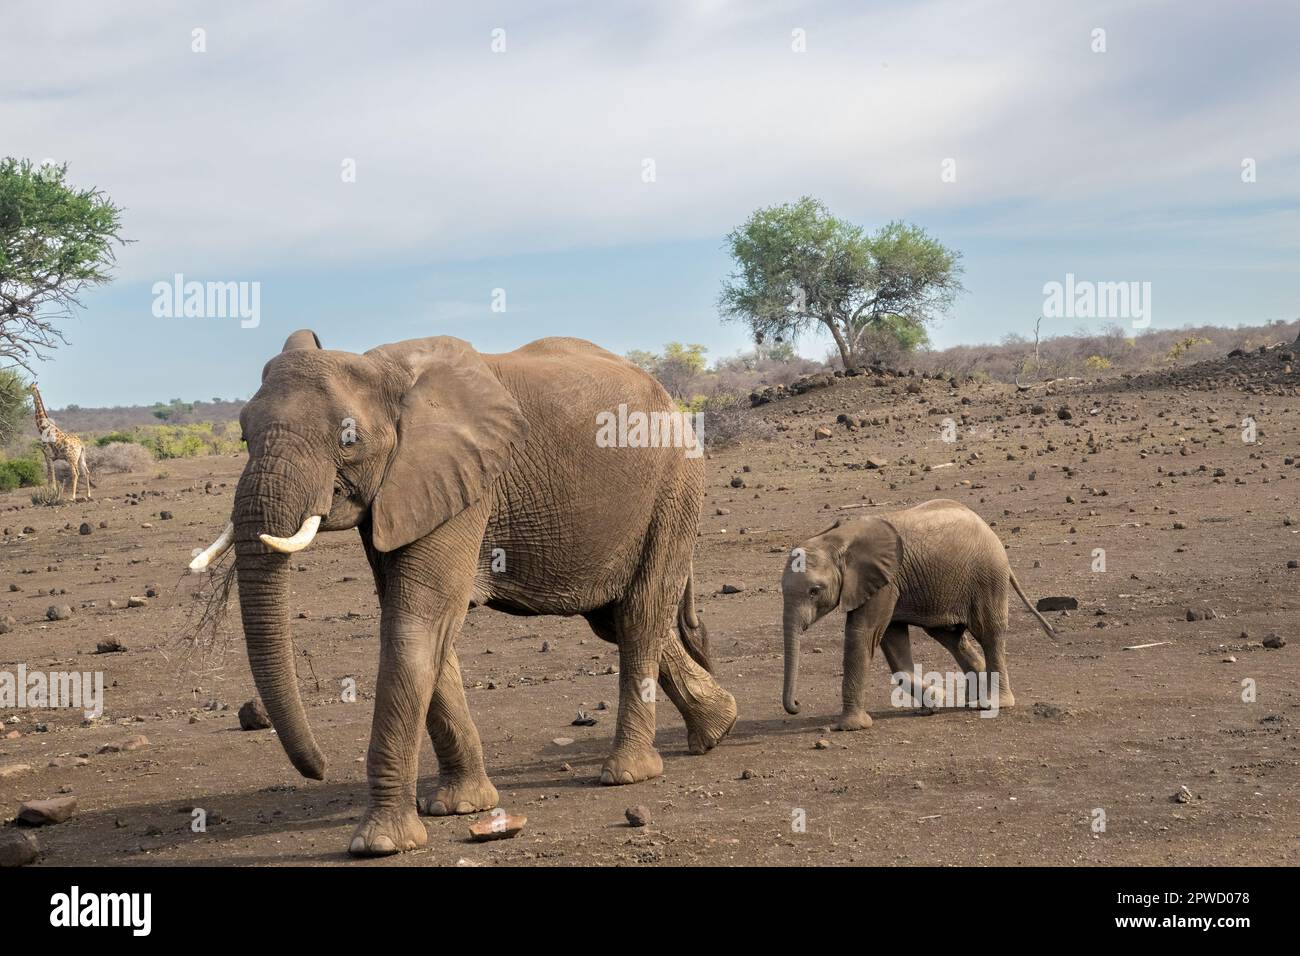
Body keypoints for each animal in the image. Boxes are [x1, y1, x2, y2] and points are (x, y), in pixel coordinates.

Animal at [188, 330, 738, 856]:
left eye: (349, 439)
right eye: (243, 435)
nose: (319, 768)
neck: (381, 368)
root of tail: (673, 402)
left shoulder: (462, 483)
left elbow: (414, 624)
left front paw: (380, 844)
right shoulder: (404, 493)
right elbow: (430, 632)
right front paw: (462, 807)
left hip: (674, 488)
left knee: (641, 616)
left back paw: (627, 774)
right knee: (616, 620)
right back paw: (717, 729)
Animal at [780, 499, 1055, 729]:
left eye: (814, 591)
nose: (797, 705)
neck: (837, 538)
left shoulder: (885, 583)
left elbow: (863, 635)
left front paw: (850, 727)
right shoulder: (886, 584)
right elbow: (892, 644)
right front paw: (935, 700)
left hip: (988, 576)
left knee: (989, 633)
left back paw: (994, 703)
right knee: (951, 637)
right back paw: (970, 700)